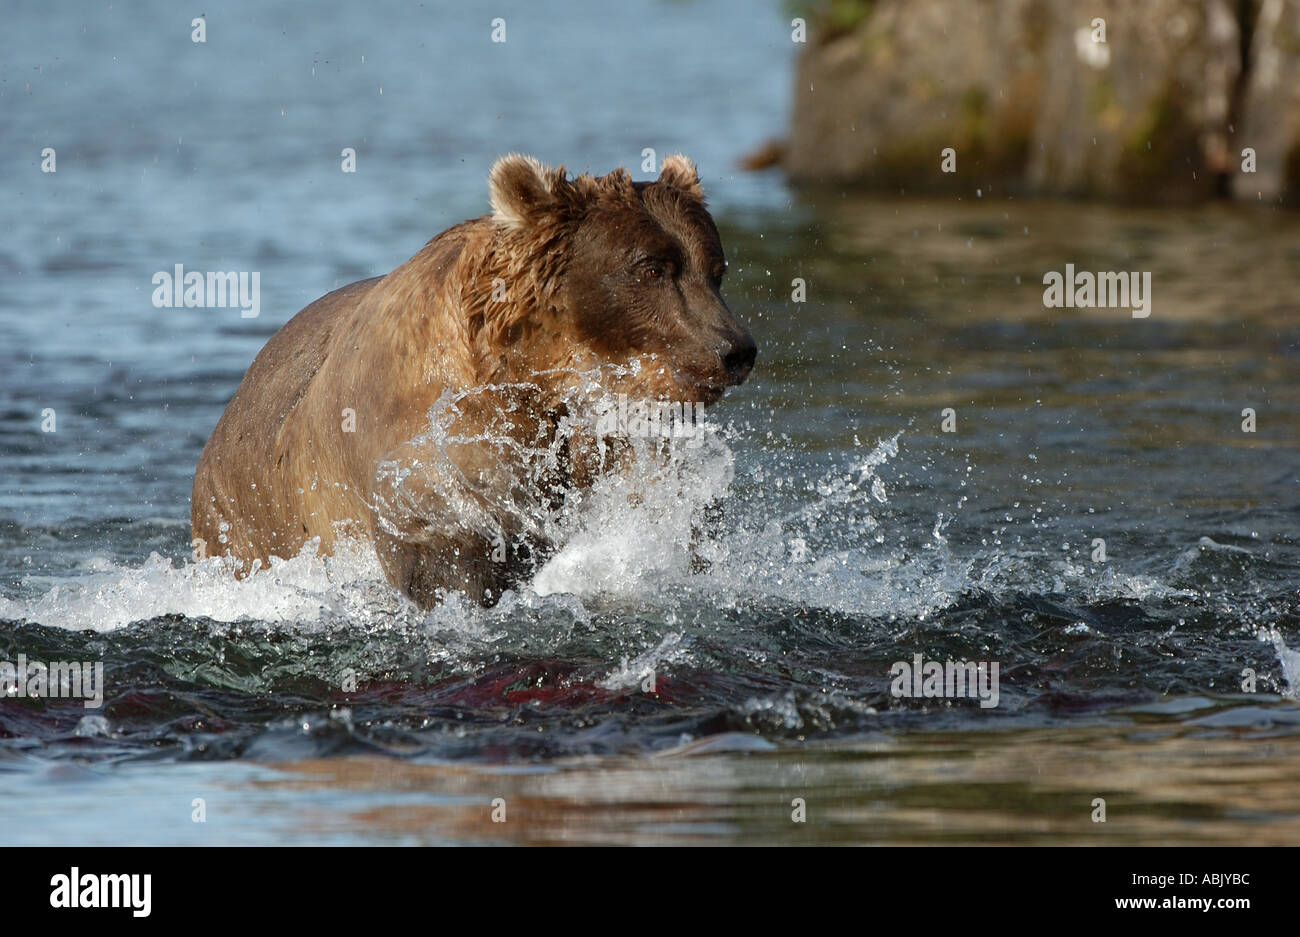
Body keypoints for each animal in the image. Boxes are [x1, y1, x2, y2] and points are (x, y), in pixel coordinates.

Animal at [190, 154, 756, 608]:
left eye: (715, 268)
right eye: (653, 268)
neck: (538, 374)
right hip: (243, 520)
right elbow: (444, 536)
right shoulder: (434, 433)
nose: (736, 350)